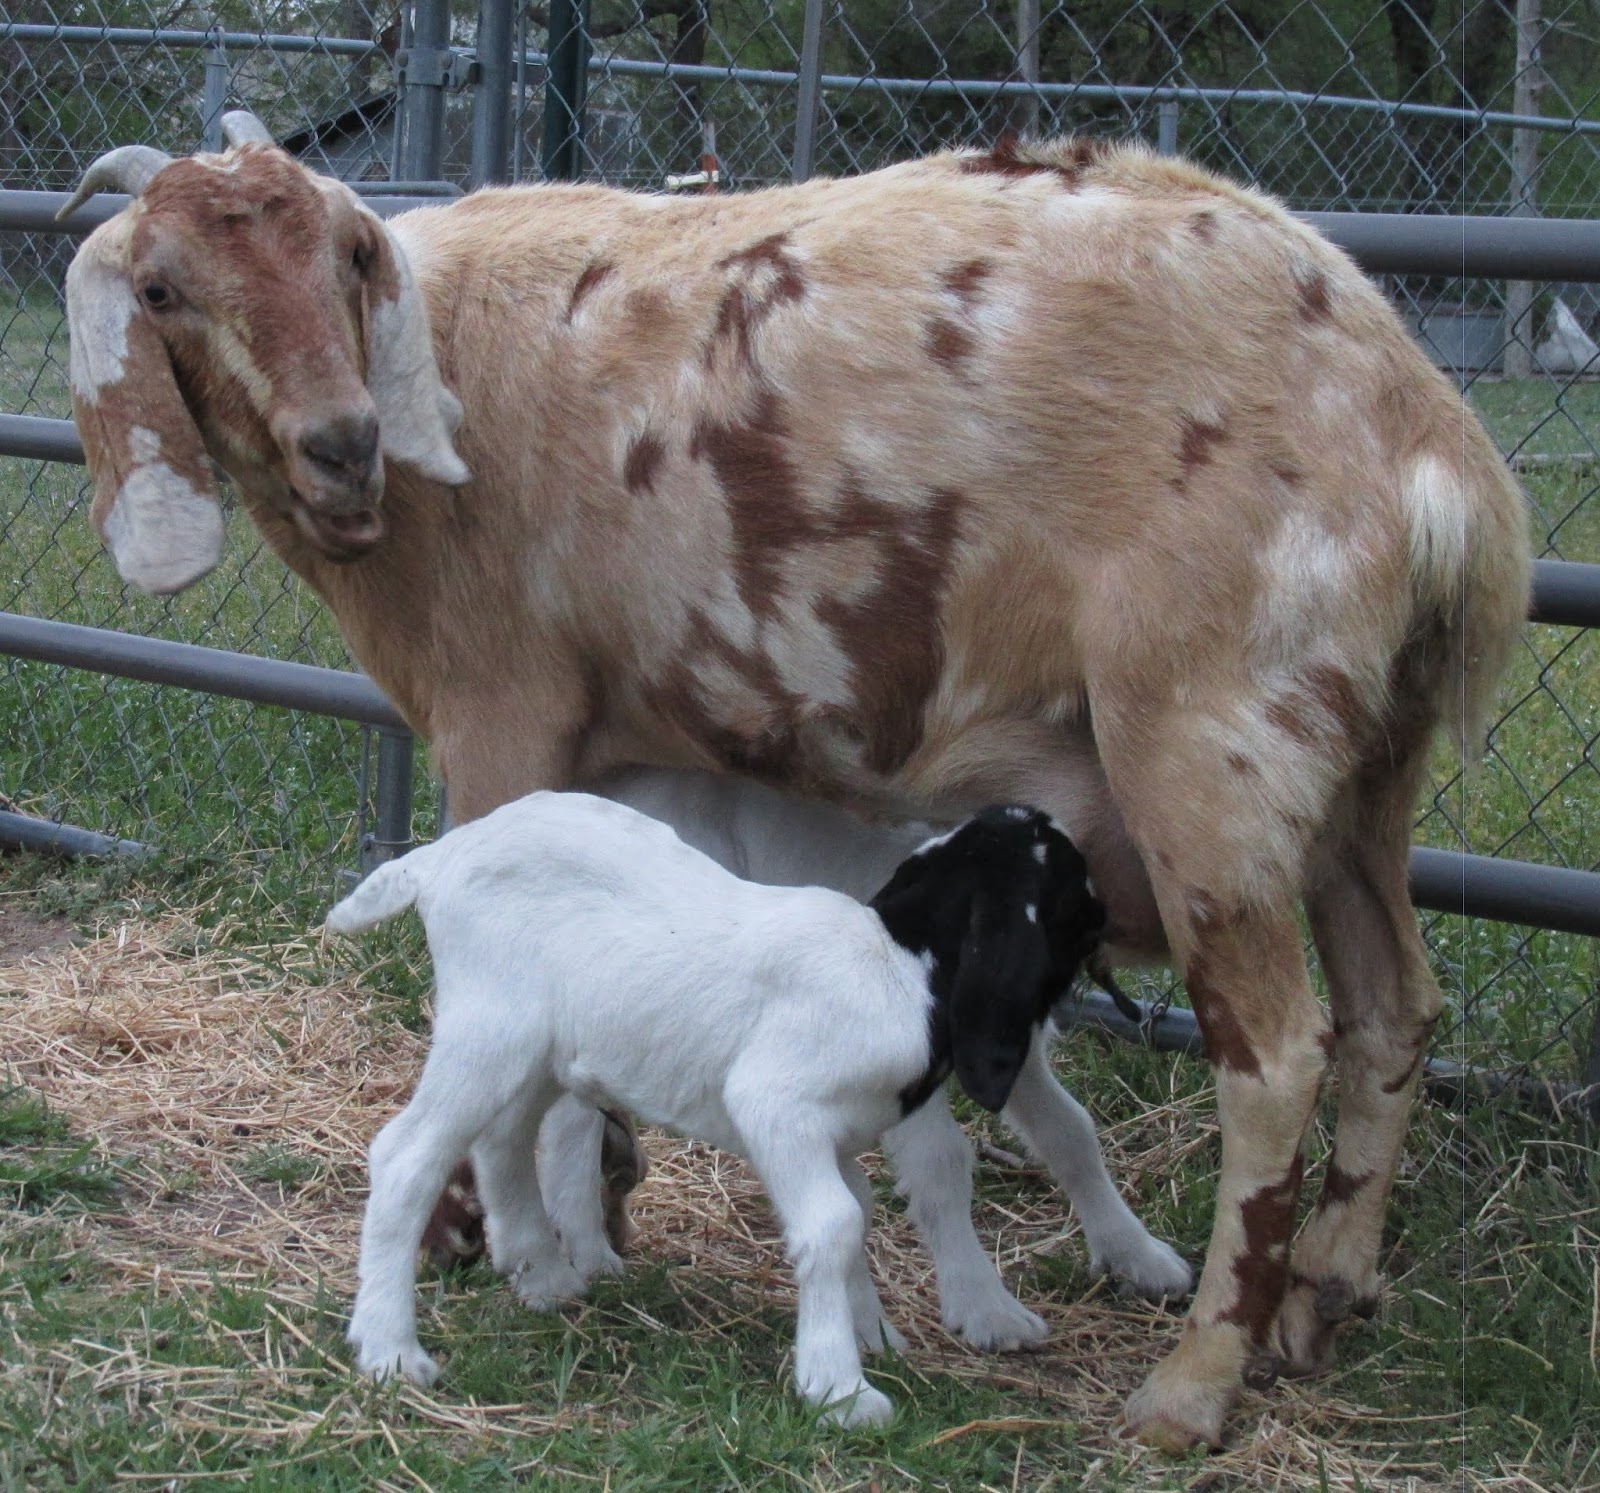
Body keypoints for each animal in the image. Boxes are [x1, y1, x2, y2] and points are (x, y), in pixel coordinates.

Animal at [328, 794, 1110, 1424]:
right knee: (406, 1155)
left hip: (542, 1047)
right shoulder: (777, 1103)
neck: (899, 964)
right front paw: (840, 1390)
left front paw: (870, 1338)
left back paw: (545, 1278)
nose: (1109, 921)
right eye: (1072, 887)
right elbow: (833, 1225)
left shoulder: (836, 1136)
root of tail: (440, 856)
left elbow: (856, 1215)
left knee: (503, 1141)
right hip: (491, 1027)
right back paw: (391, 1350)